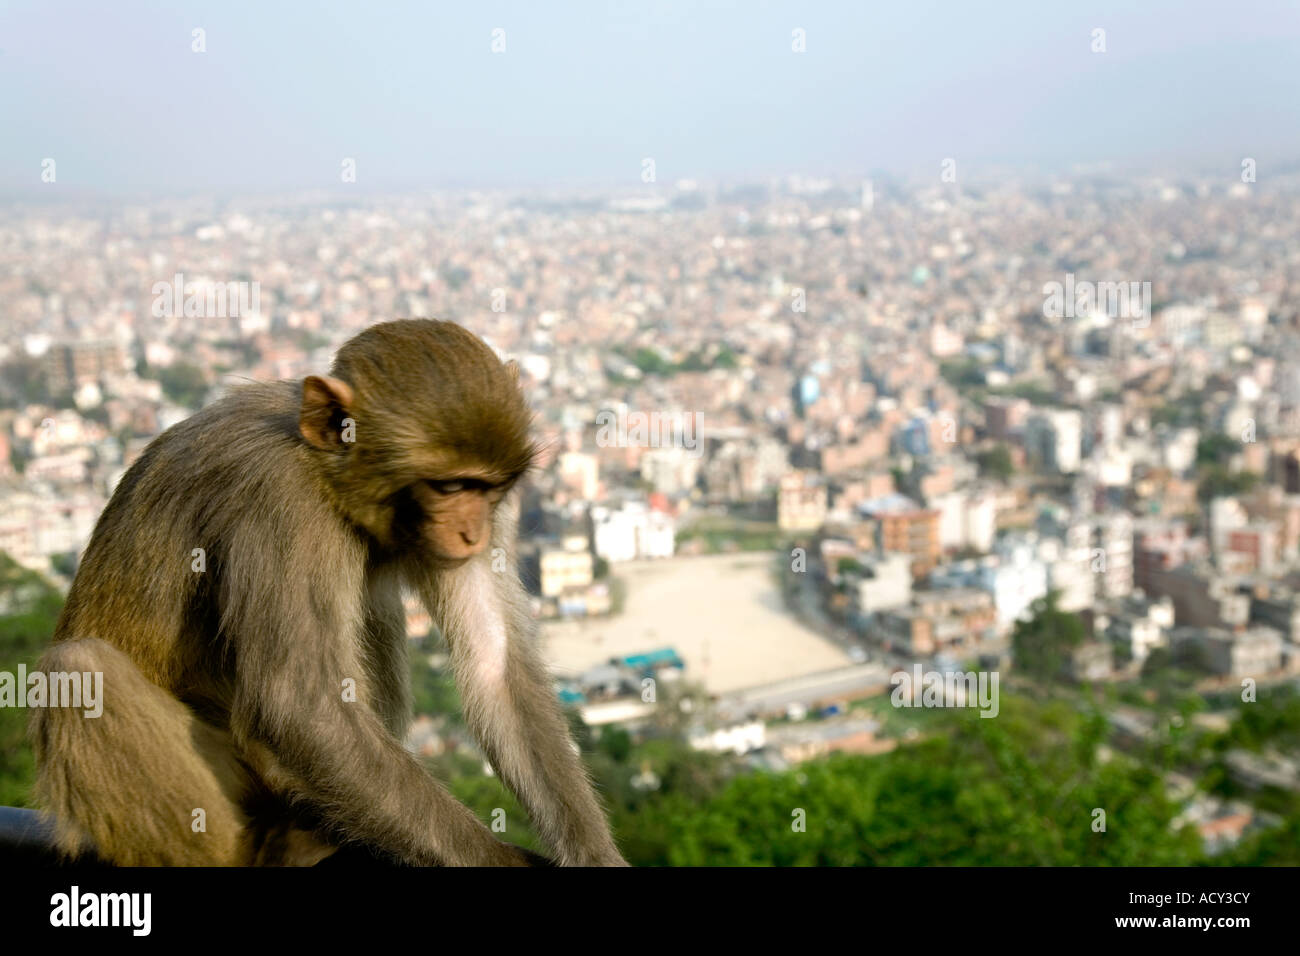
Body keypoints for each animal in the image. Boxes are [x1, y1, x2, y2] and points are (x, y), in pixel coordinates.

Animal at [29, 319, 627, 867]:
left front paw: (594, 855)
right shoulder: (281, 501)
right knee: (79, 670)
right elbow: (302, 706)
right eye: (449, 486)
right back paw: (256, 848)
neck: (326, 471)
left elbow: (494, 663)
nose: (472, 533)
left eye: (488, 488)